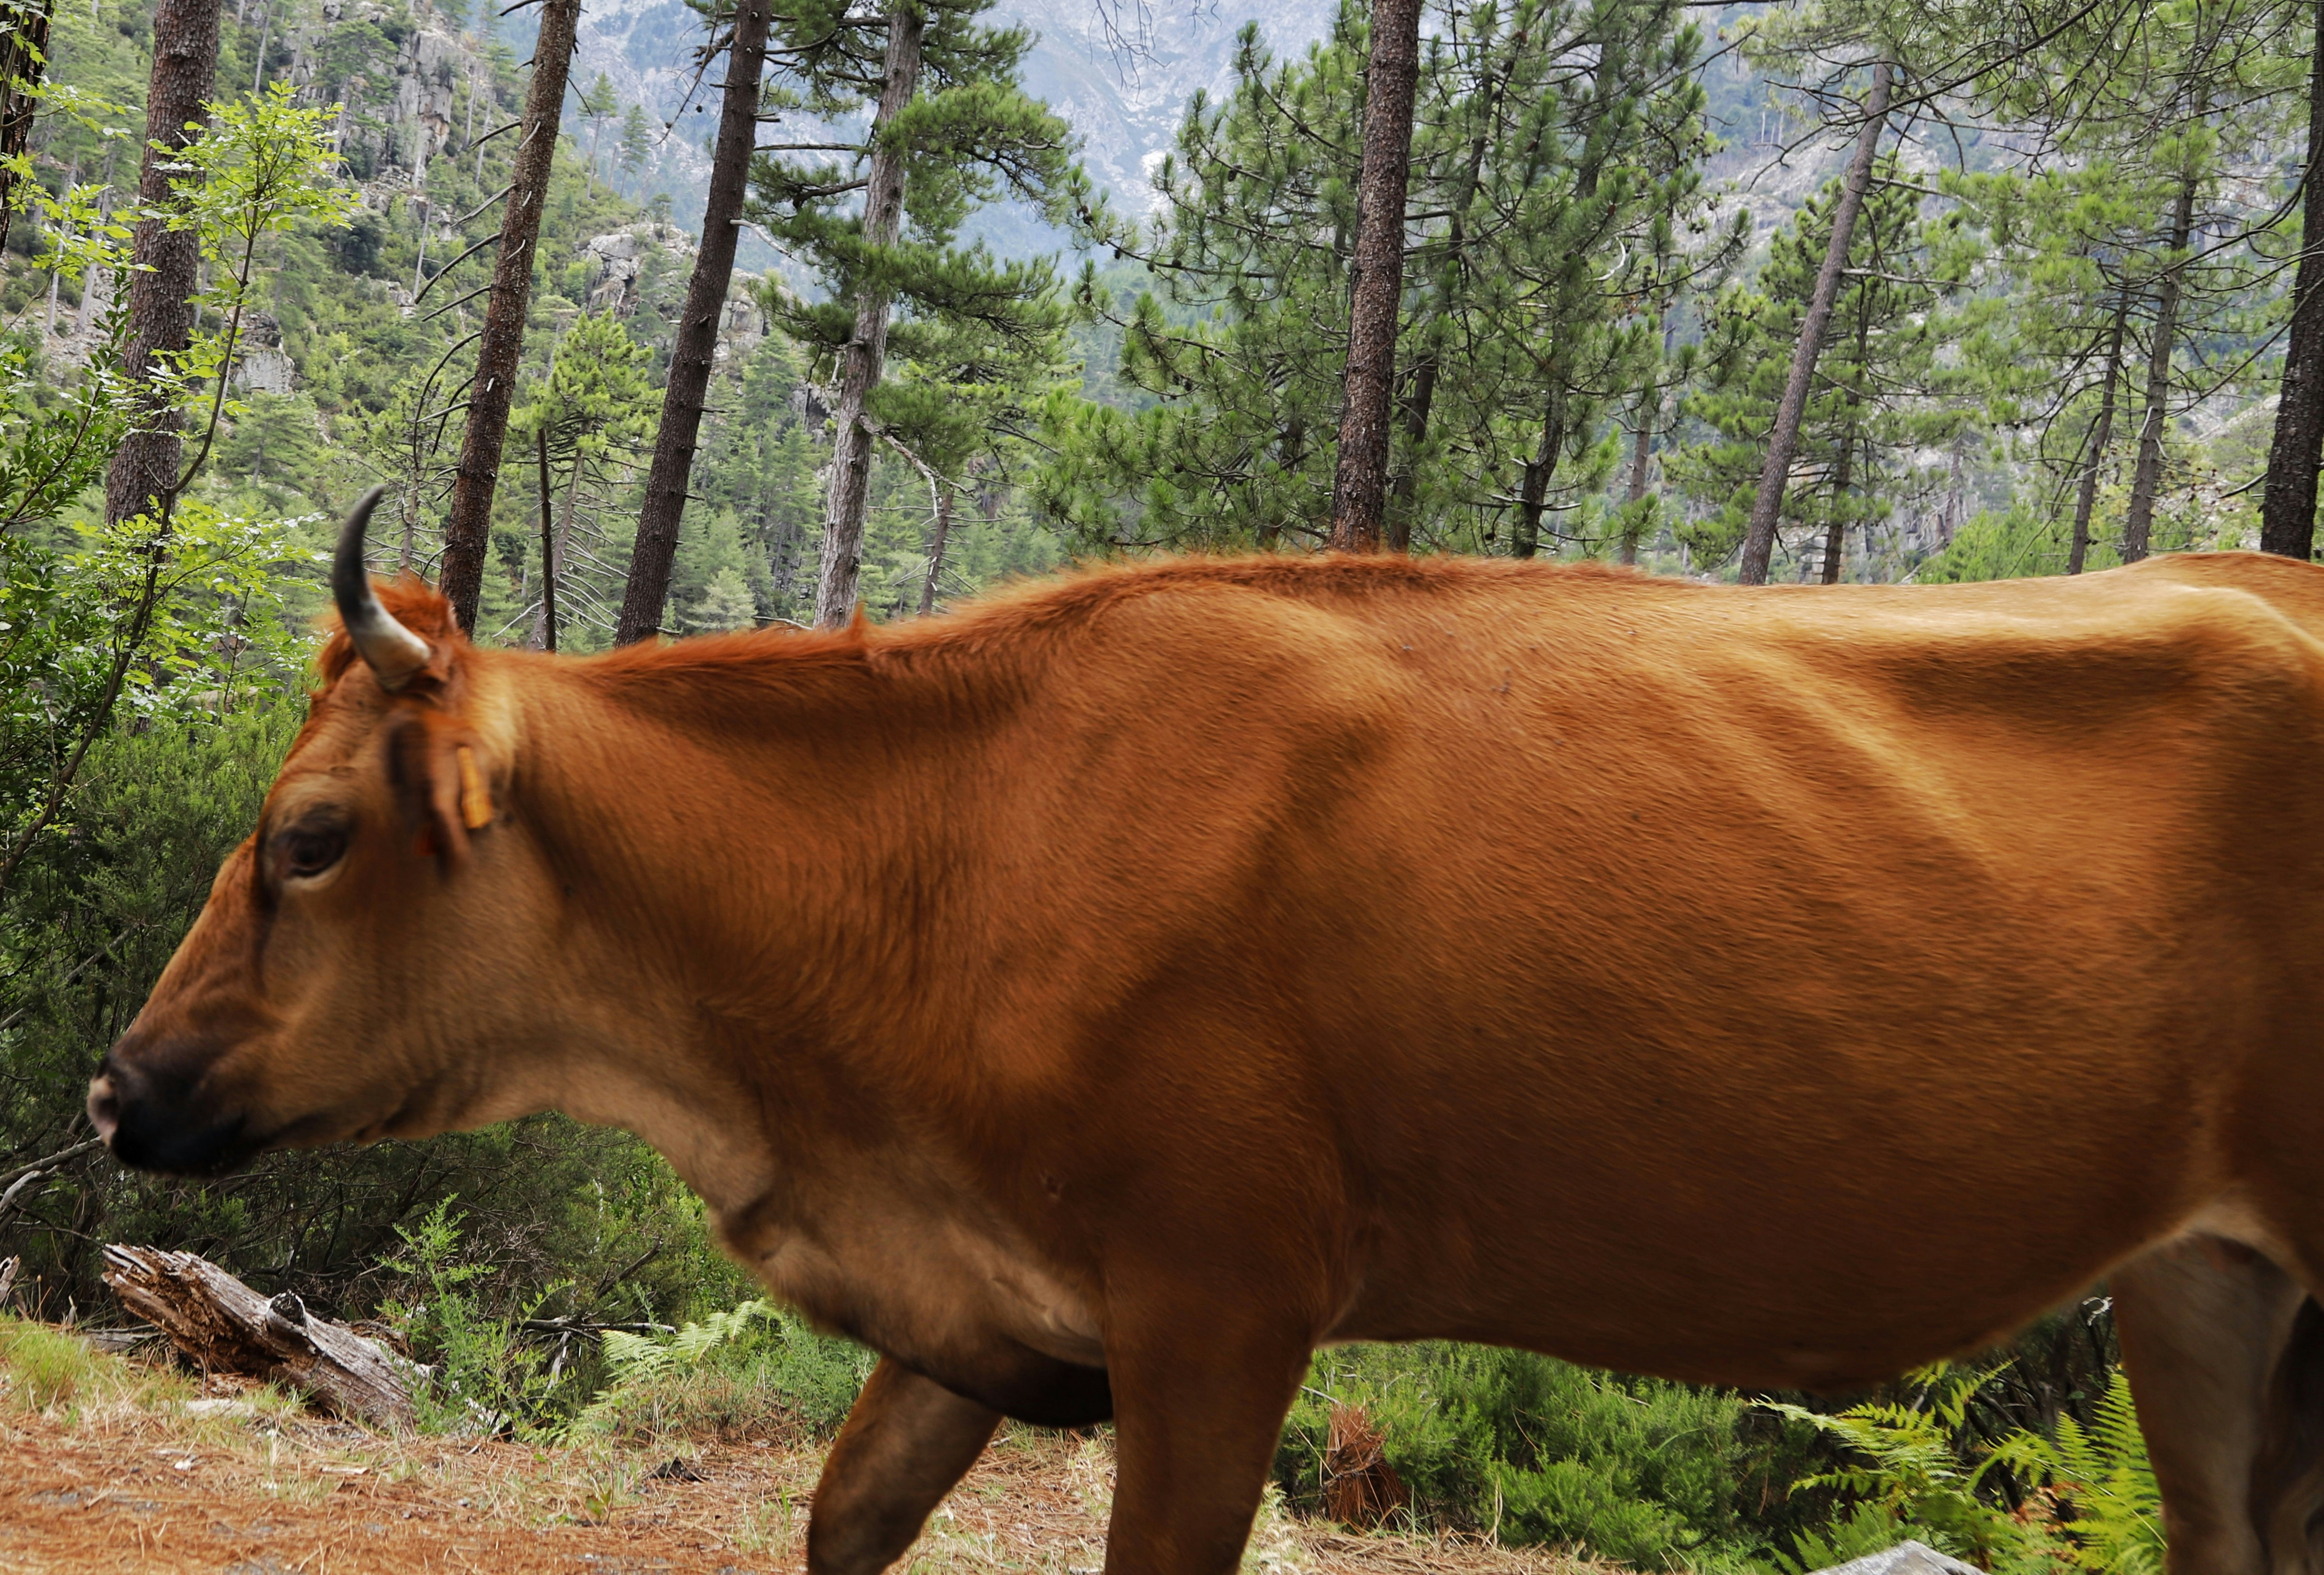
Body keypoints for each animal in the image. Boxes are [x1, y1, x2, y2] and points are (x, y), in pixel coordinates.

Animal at [89, 487, 2324, 1575]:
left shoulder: (1217, 1297)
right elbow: (842, 1516)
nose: (119, 1085)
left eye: (307, 835)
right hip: (2197, 1279)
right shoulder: (980, 1298)